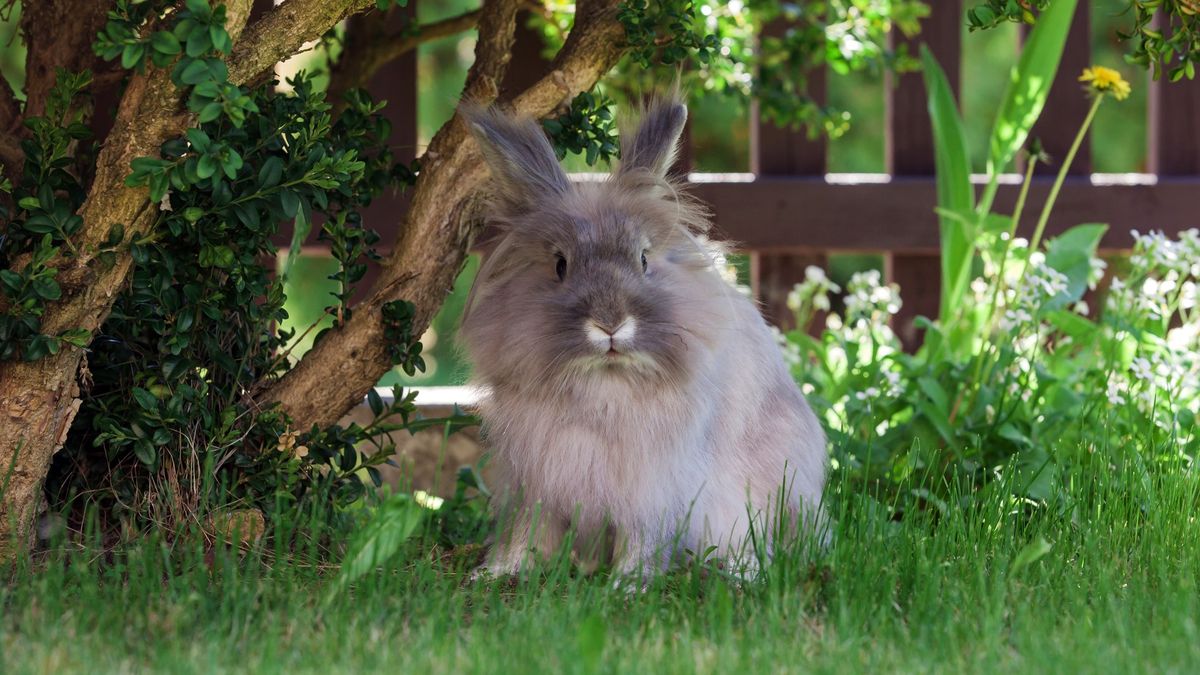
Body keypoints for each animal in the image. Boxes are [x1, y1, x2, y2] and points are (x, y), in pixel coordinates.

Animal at [459, 95, 828, 580]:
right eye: (559, 265)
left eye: (644, 259)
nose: (610, 323)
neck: (605, 385)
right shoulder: (536, 478)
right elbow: (527, 529)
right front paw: (497, 573)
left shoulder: (654, 488)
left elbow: (644, 536)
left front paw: (628, 583)